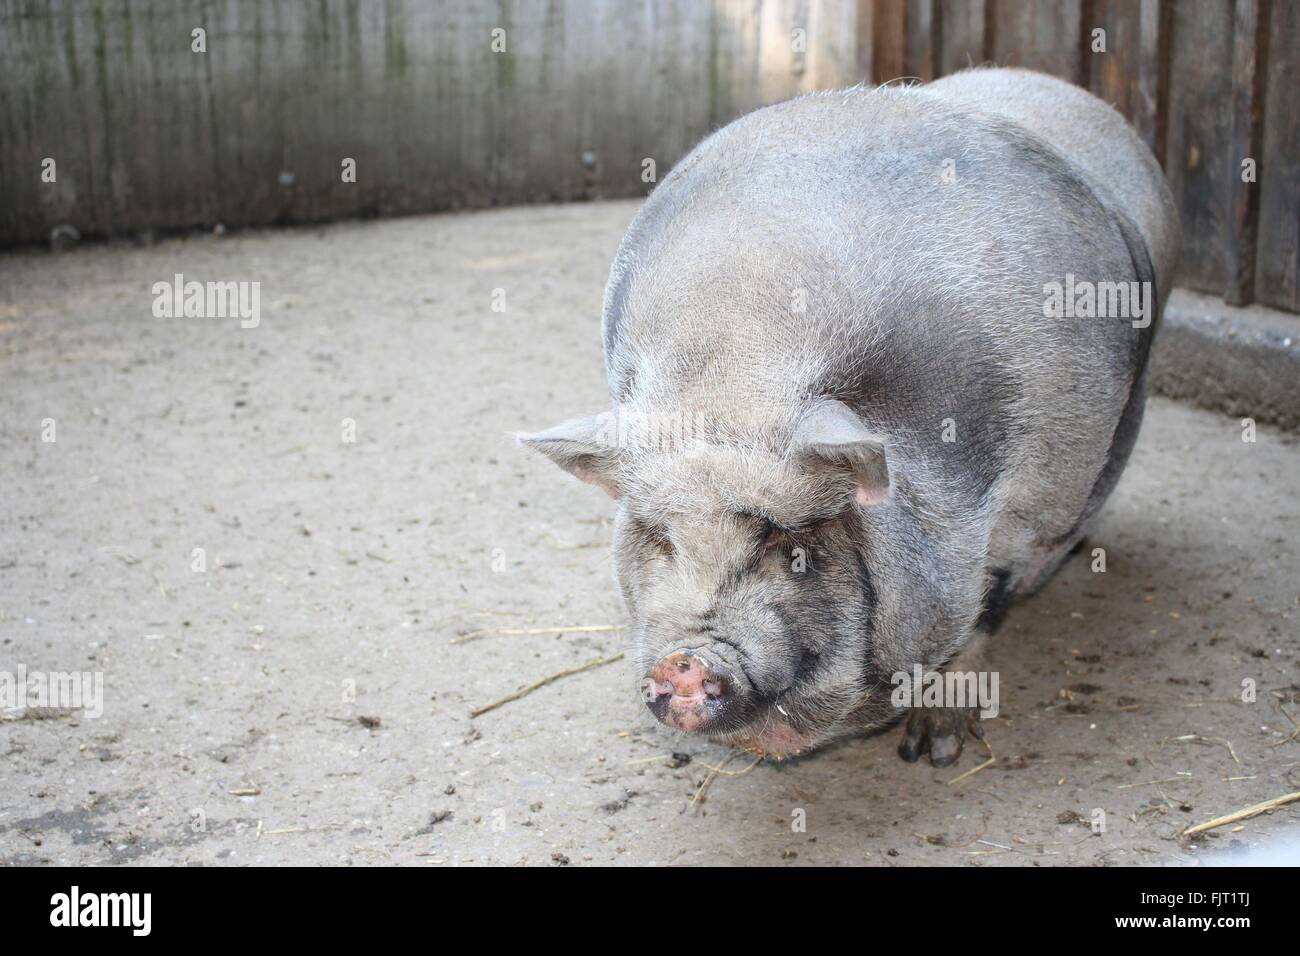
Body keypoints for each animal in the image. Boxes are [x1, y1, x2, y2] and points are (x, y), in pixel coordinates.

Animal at [521, 68, 1179, 766]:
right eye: (663, 539)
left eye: (792, 547)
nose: (686, 660)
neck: (736, 375)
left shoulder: (1028, 504)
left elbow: (981, 611)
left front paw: (934, 752)